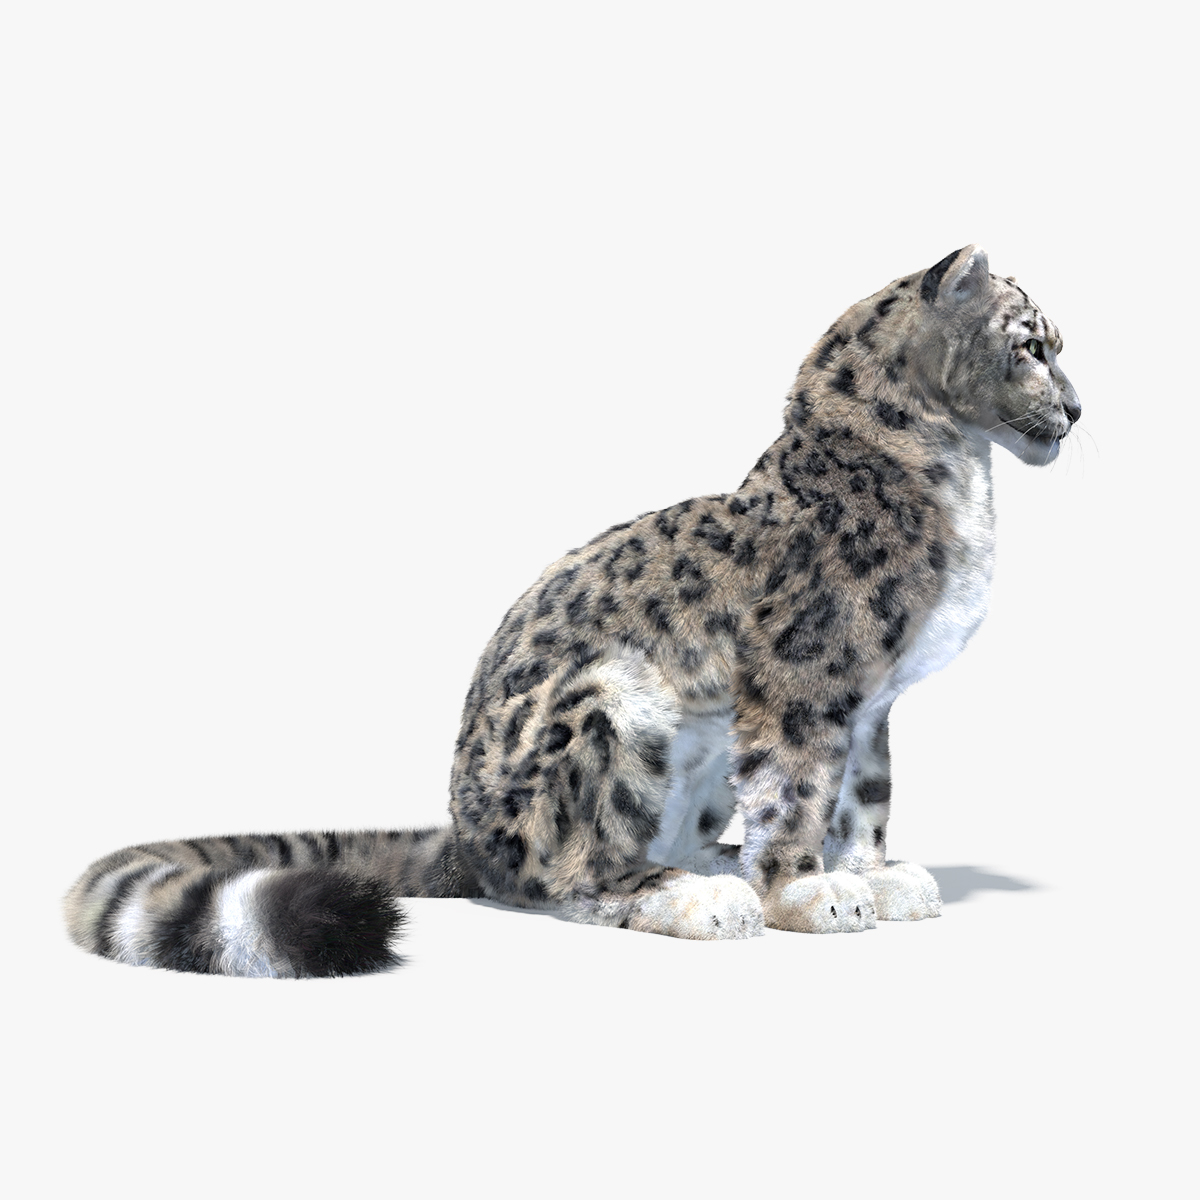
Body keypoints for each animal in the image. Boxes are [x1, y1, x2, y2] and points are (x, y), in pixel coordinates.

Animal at [64, 245, 1080, 976]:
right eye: (1032, 345)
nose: (1076, 408)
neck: (964, 483)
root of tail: (465, 830)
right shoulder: (806, 682)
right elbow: (799, 793)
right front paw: (809, 893)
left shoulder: (870, 702)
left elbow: (864, 796)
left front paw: (873, 873)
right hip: (614, 703)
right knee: (568, 874)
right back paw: (701, 896)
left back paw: (715, 864)